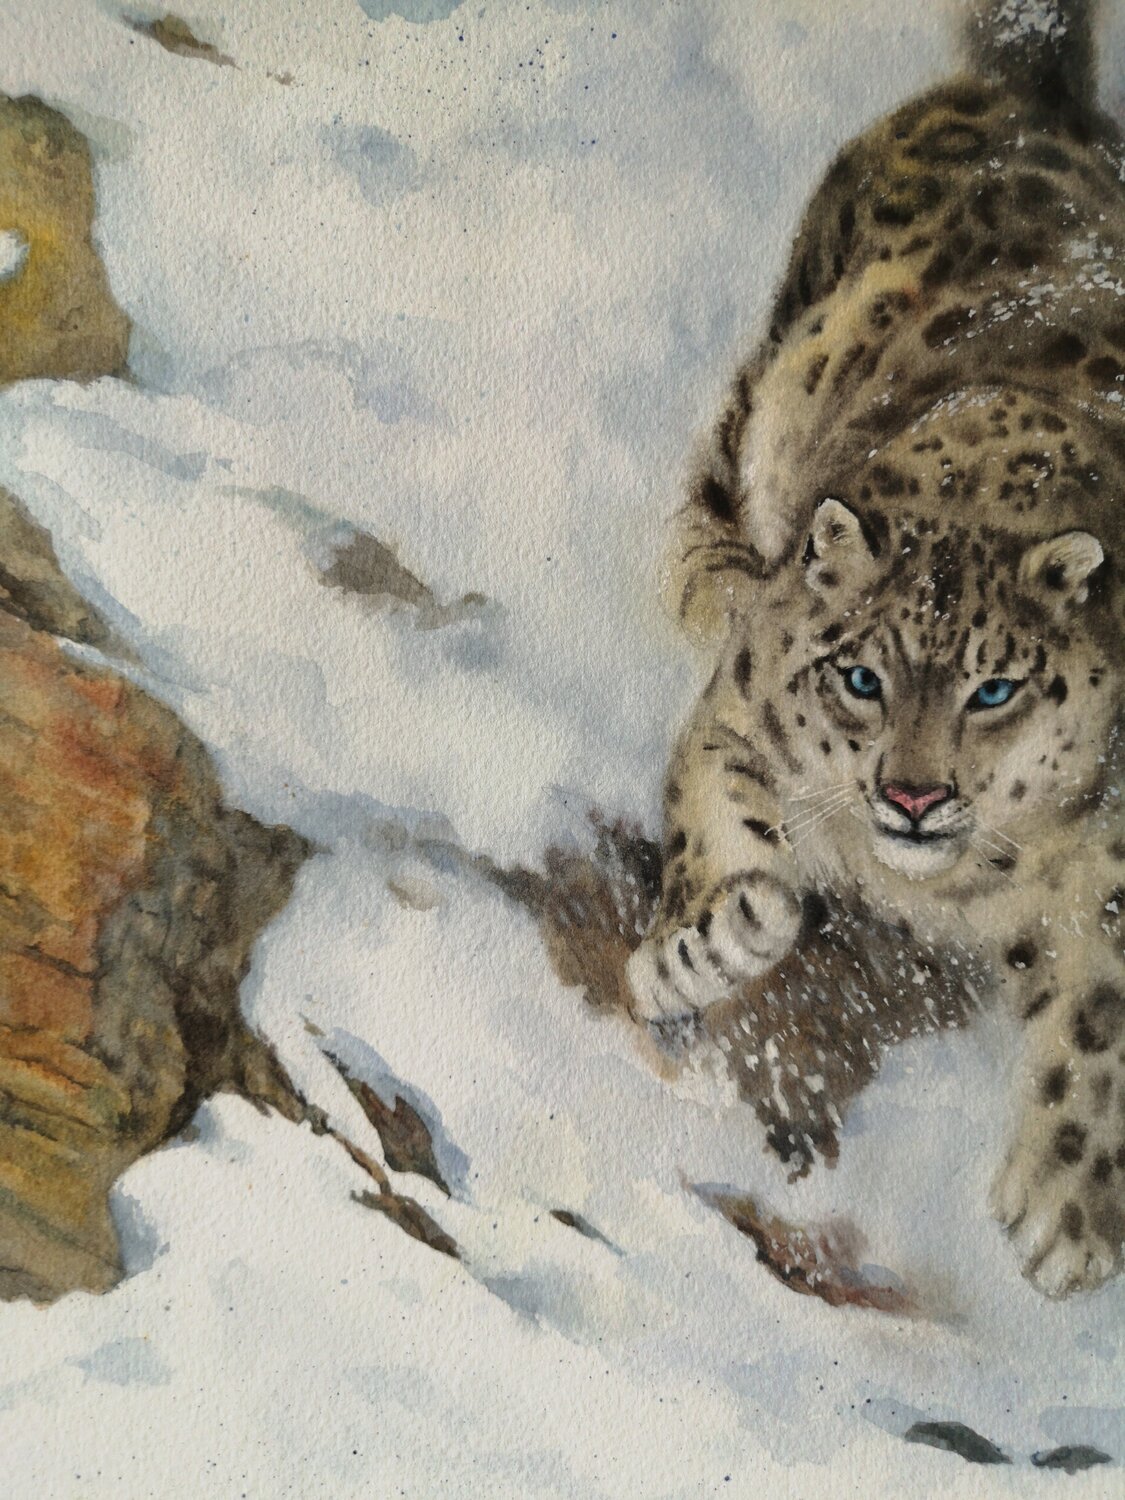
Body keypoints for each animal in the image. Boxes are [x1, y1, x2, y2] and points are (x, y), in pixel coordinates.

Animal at [628, 0, 1125, 1298]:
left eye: (997, 690)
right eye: (860, 677)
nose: (911, 796)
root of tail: (1036, 95)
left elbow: (1105, 1014)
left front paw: (1066, 1217)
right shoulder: (737, 715)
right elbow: (716, 826)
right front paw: (712, 940)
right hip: (778, 361)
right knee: (715, 476)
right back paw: (714, 578)